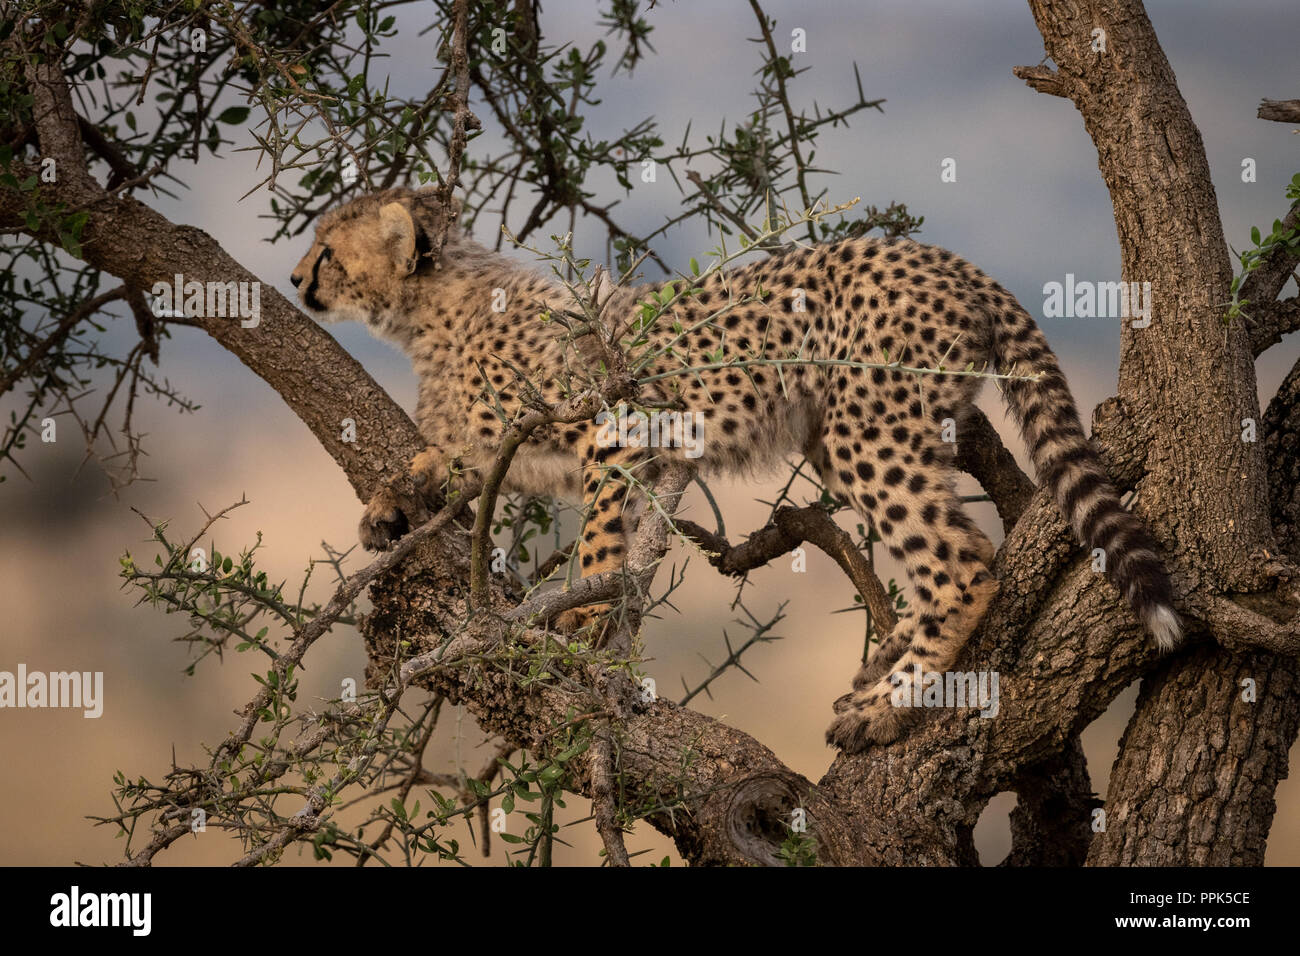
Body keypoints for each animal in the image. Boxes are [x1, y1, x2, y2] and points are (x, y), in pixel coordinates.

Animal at [291, 186, 1182, 753]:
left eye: (327, 250)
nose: (296, 280)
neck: (431, 313)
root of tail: (947, 259)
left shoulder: (617, 423)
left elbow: (602, 532)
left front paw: (587, 611)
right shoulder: (501, 446)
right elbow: (444, 459)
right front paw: (389, 506)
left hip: (867, 427)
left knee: (961, 563)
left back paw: (887, 707)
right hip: (843, 428)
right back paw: (876, 673)